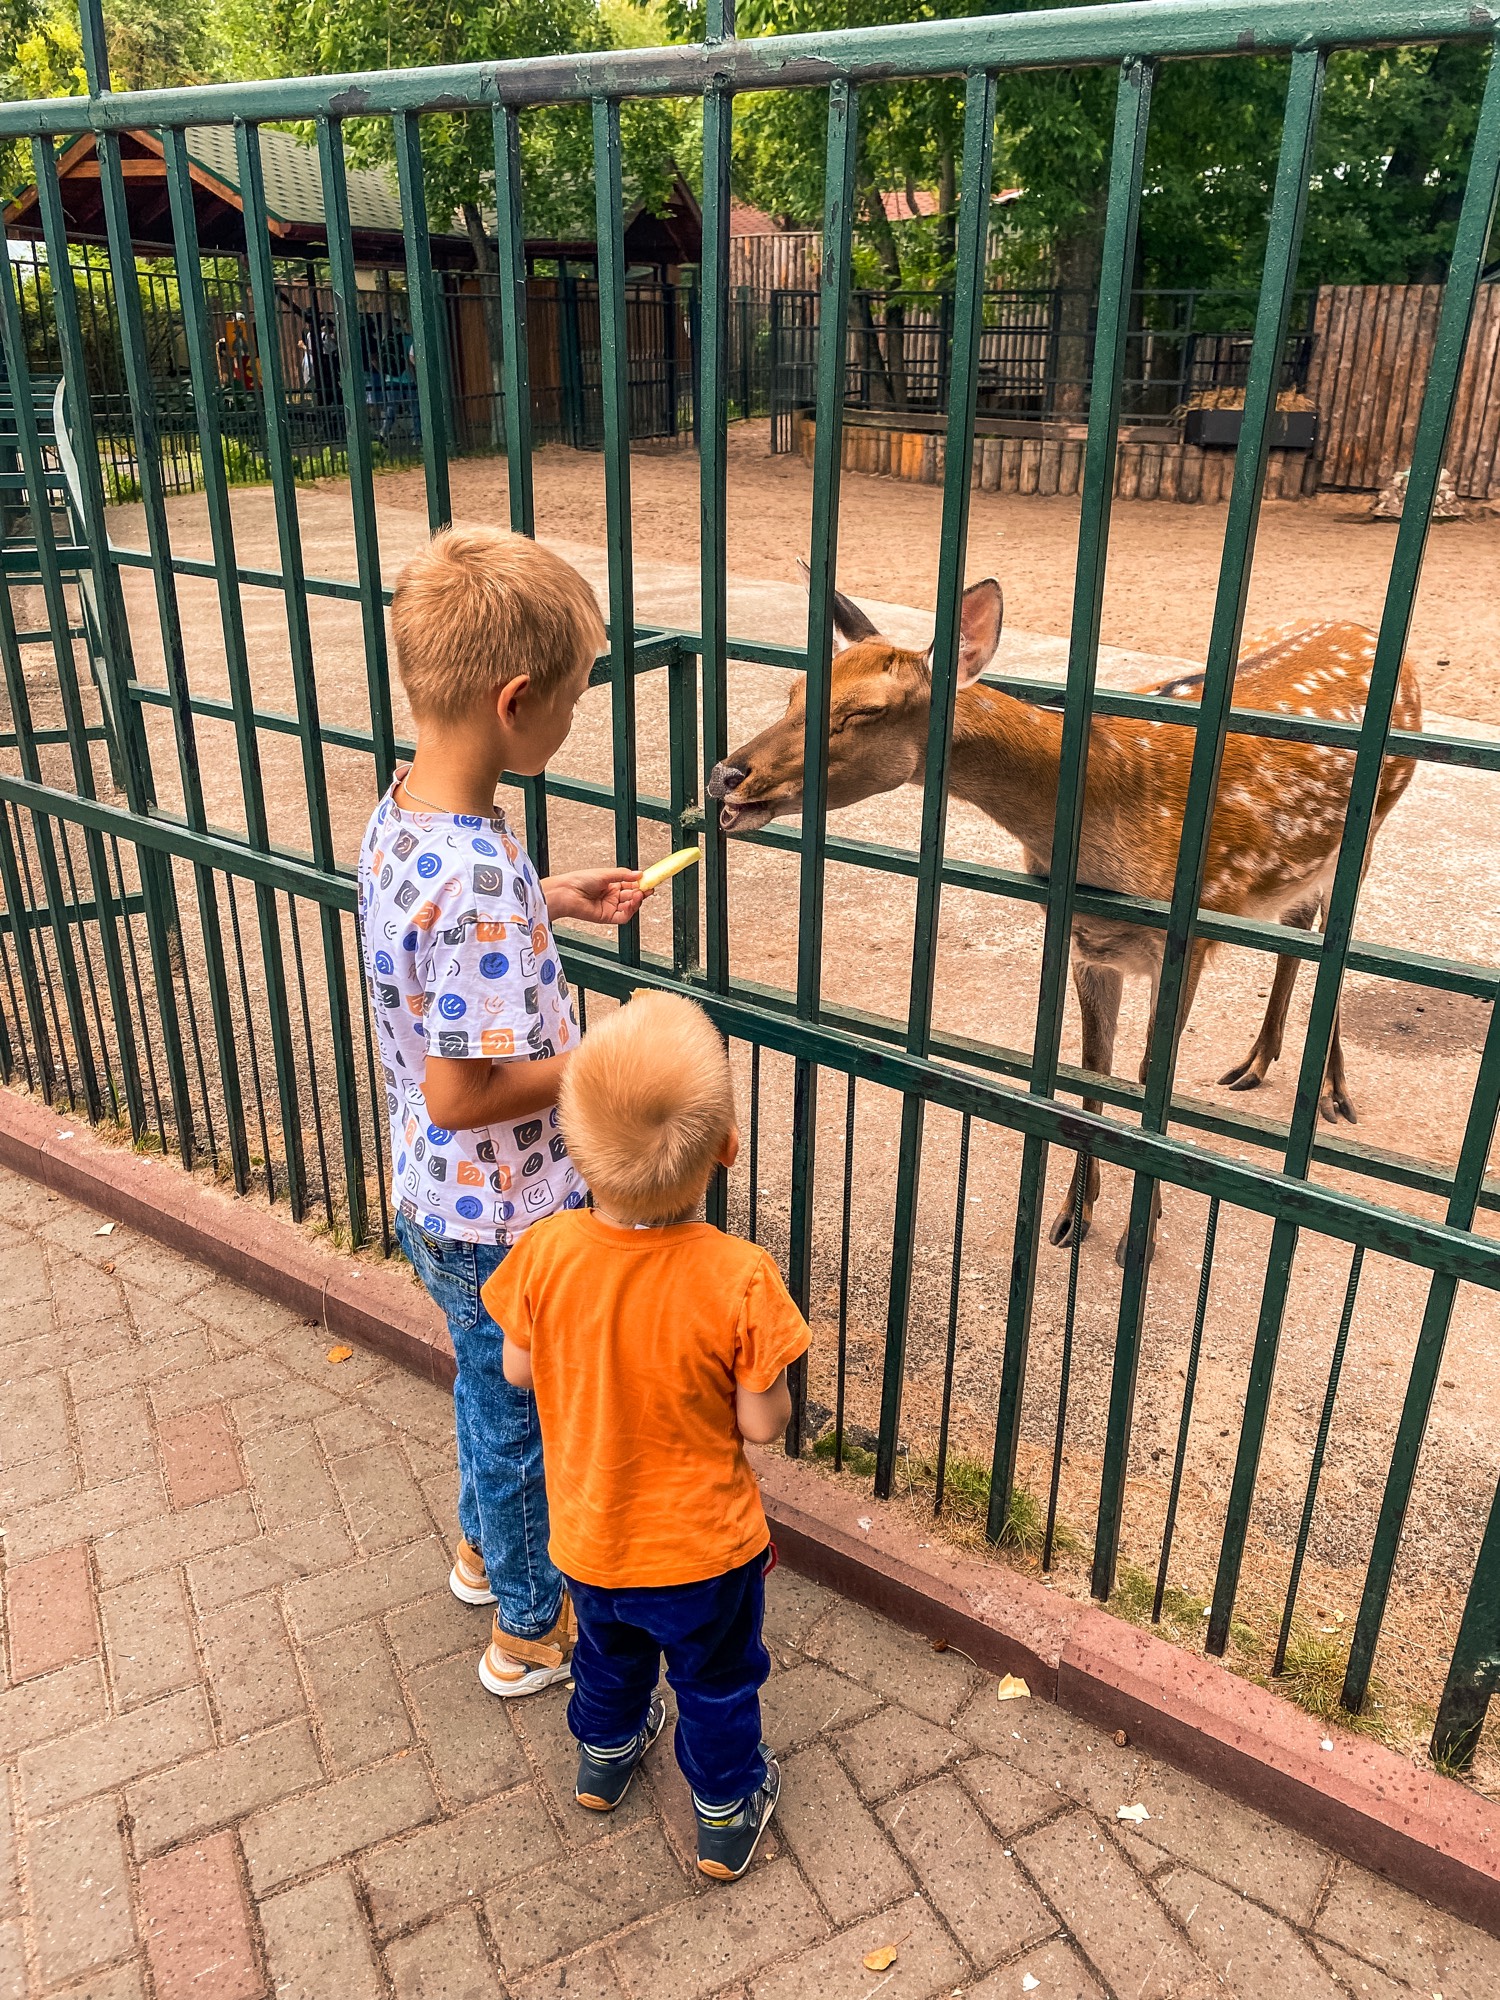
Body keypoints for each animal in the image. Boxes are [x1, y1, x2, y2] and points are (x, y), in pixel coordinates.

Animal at [712, 580, 1424, 1264]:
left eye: (864, 712)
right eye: (793, 691)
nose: (727, 774)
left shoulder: (1188, 939)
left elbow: (1148, 1081)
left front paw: (1142, 1235)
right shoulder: (1090, 943)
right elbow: (1090, 1071)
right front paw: (1073, 1216)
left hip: (1374, 824)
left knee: (1338, 934)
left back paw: (1332, 1092)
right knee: (1300, 925)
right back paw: (1255, 1062)